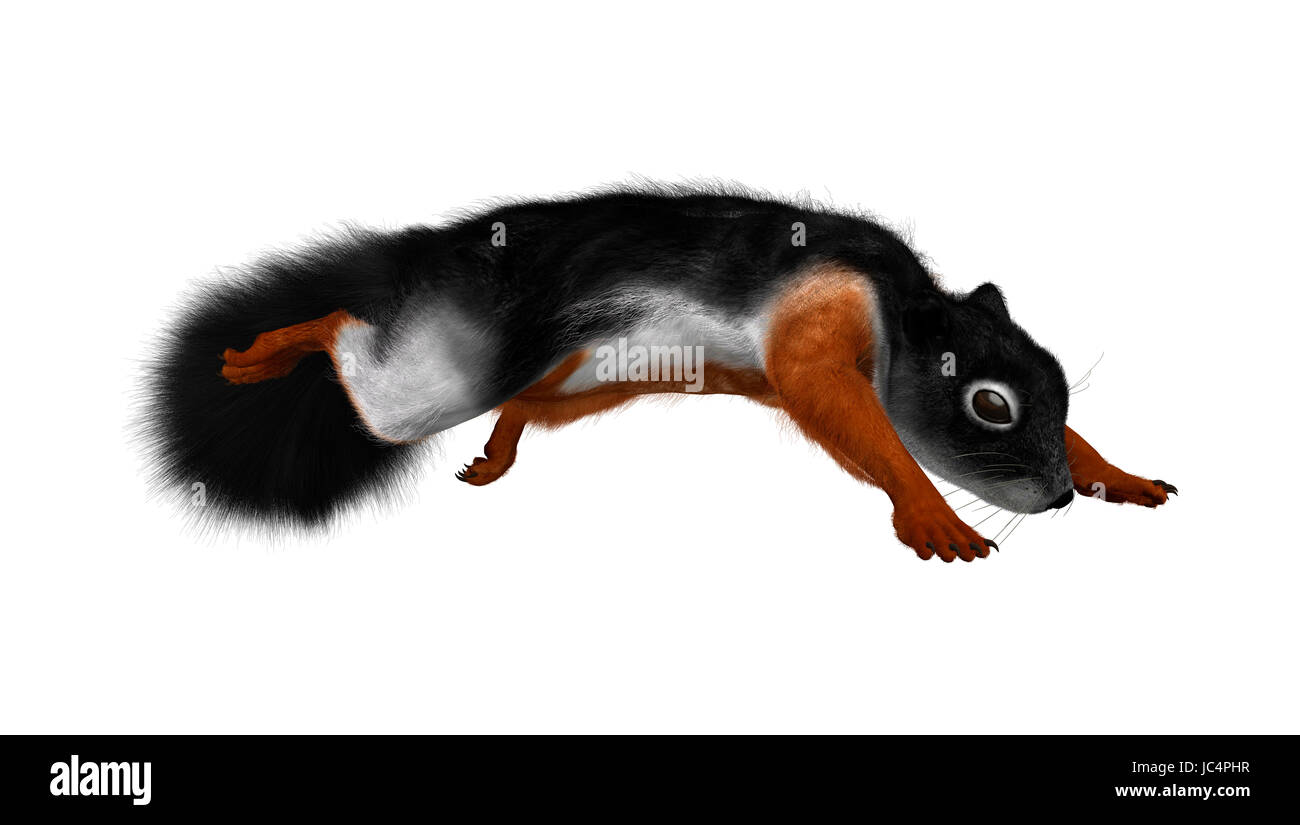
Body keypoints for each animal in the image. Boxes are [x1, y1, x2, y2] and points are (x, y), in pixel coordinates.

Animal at [141, 184, 1176, 561]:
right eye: (989, 402)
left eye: (1059, 387)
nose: (1056, 495)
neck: (902, 305)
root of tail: (427, 255)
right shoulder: (819, 321)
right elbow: (853, 417)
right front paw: (930, 512)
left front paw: (1117, 474)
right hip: (437, 370)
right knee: (350, 346)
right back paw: (270, 348)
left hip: (584, 375)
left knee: (523, 402)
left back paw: (501, 444)